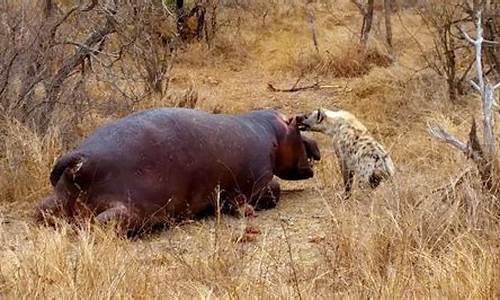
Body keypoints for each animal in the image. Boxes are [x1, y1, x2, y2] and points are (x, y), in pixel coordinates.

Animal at [37, 108, 322, 234]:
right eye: (299, 126)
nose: (317, 148)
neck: (271, 131)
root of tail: (82, 157)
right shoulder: (262, 179)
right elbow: (274, 189)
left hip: (56, 200)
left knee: (42, 211)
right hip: (131, 209)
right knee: (103, 223)